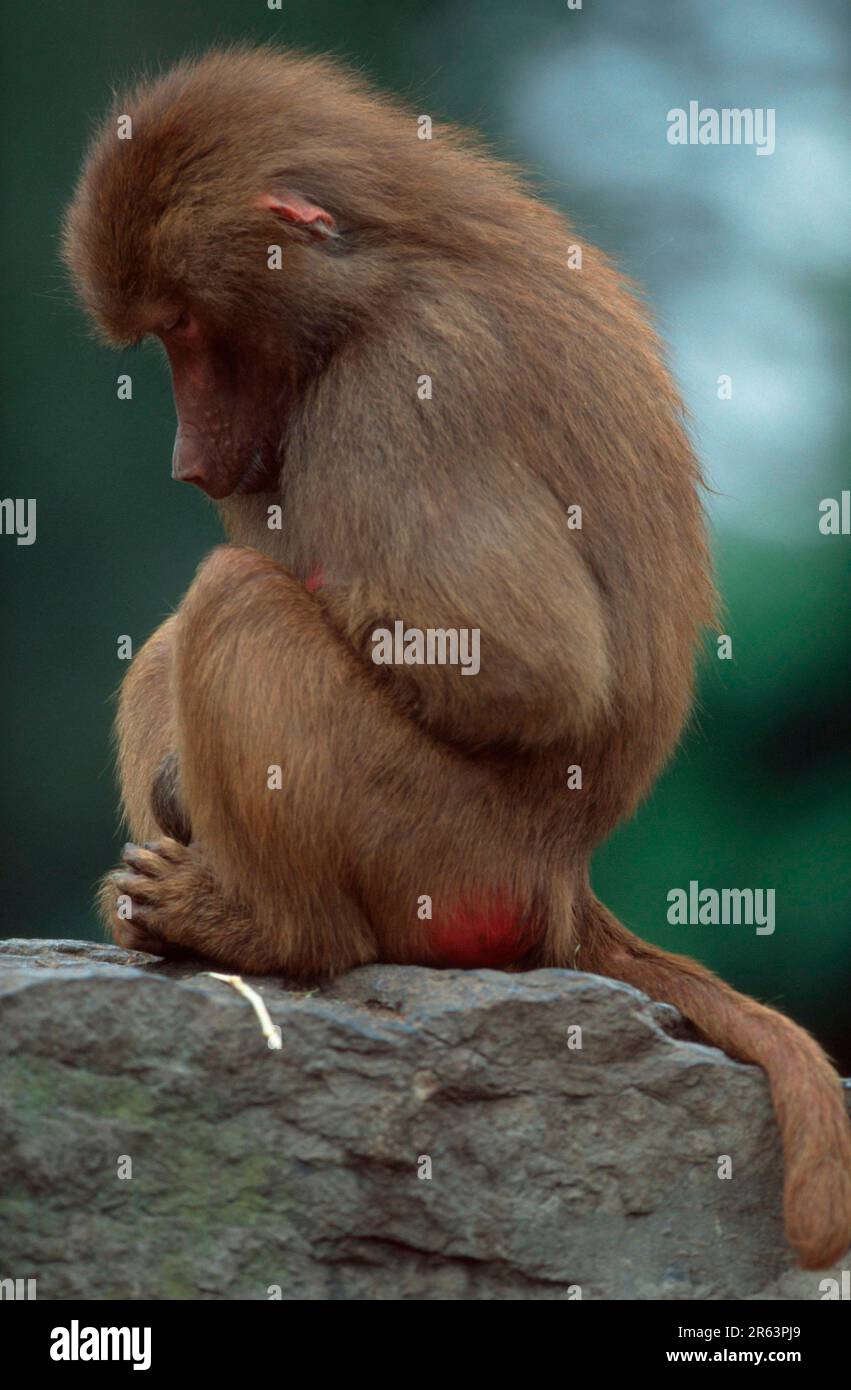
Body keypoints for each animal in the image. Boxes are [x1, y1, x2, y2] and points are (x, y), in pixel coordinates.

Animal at [63, 46, 851, 1271]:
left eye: (185, 327)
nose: (189, 462)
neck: (388, 272)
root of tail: (564, 875)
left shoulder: (408, 385)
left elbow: (522, 666)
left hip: (442, 848)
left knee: (235, 600)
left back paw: (270, 930)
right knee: (191, 624)